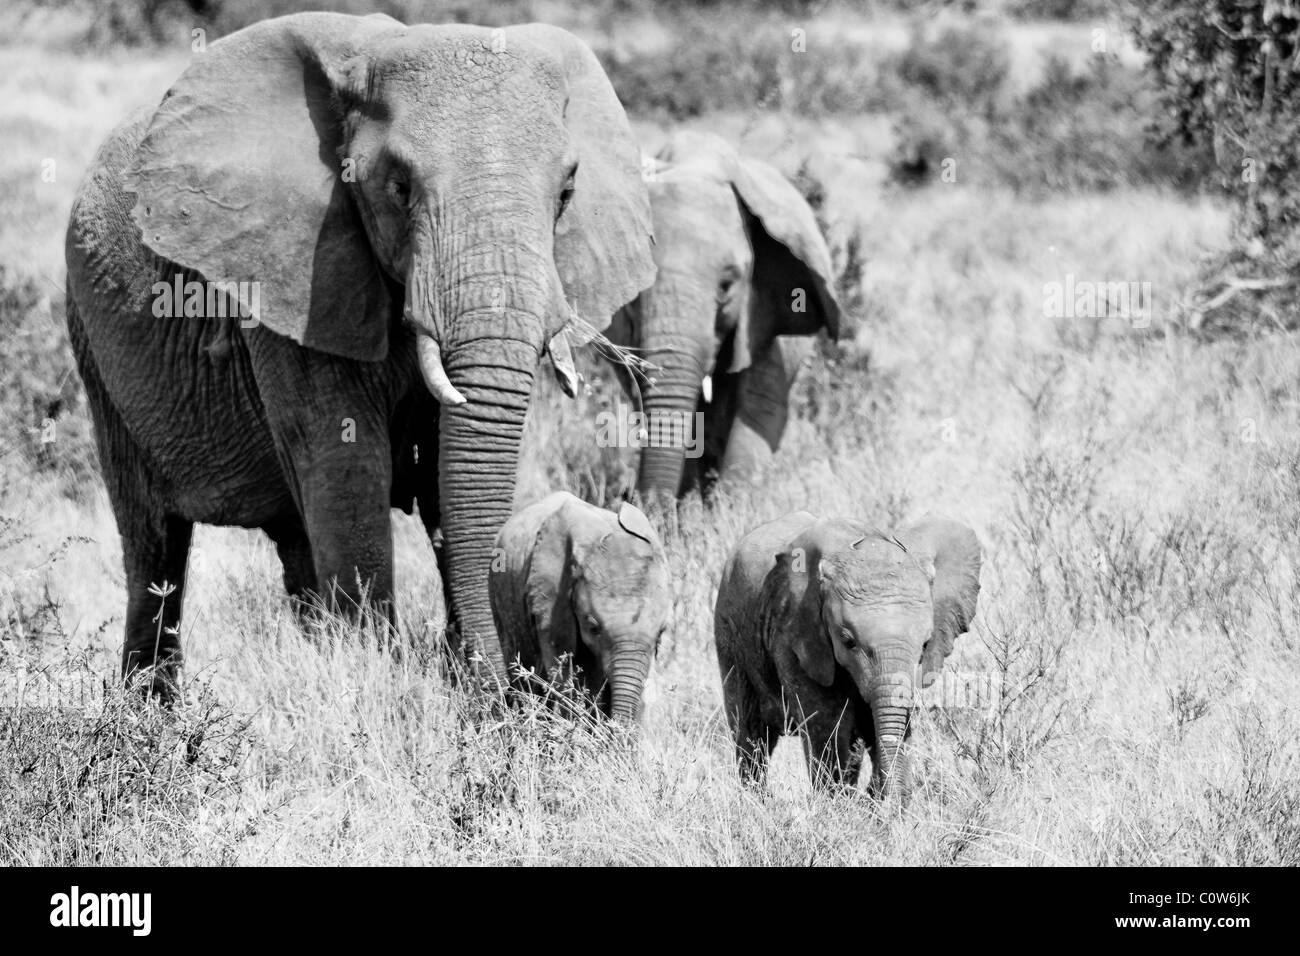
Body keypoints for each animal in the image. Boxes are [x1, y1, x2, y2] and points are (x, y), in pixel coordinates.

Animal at [63, 12, 655, 696]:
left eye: (566, 193)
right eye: (398, 188)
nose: (505, 686)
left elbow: (442, 470)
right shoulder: (296, 276)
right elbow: (345, 461)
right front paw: (380, 678)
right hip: (93, 343)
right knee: (154, 543)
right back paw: (149, 705)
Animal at [607, 131, 842, 502]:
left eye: (726, 286)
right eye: (635, 292)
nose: (636, 501)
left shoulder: (765, 308)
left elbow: (755, 408)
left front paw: (731, 511)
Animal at [713, 511, 981, 798]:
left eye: (925, 644)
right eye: (848, 641)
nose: (879, 796)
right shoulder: (794, 634)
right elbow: (829, 725)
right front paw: (836, 804)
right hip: (729, 632)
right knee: (751, 733)